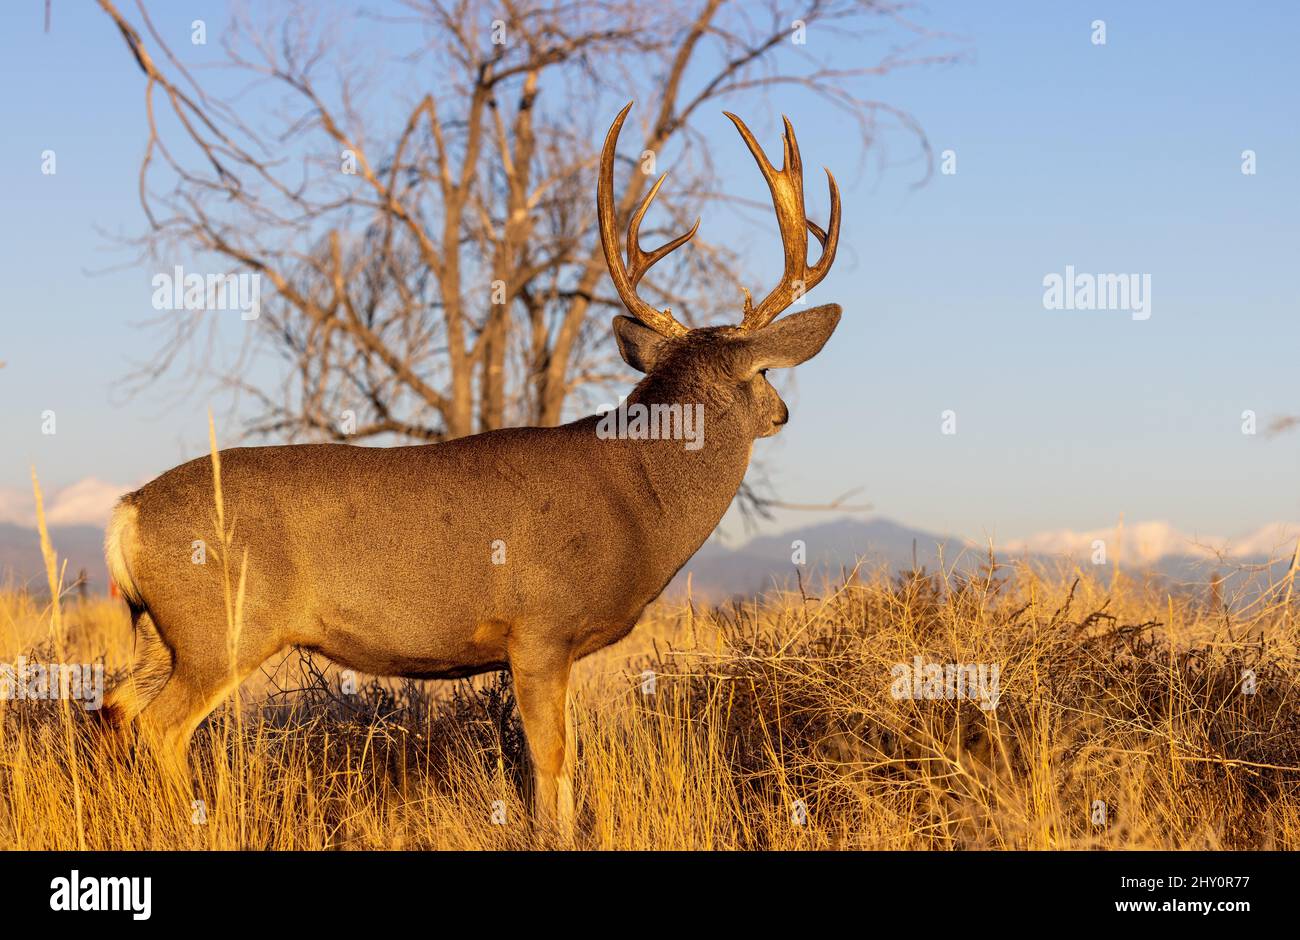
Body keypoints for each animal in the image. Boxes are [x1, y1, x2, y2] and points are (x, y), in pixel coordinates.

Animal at [101, 102, 842, 833]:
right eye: (765, 372)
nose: (782, 413)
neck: (640, 496)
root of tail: (125, 512)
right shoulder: (539, 628)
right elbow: (552, 767)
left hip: (162, 634)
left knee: (116, 708)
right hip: (221, 628)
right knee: (159, 726)